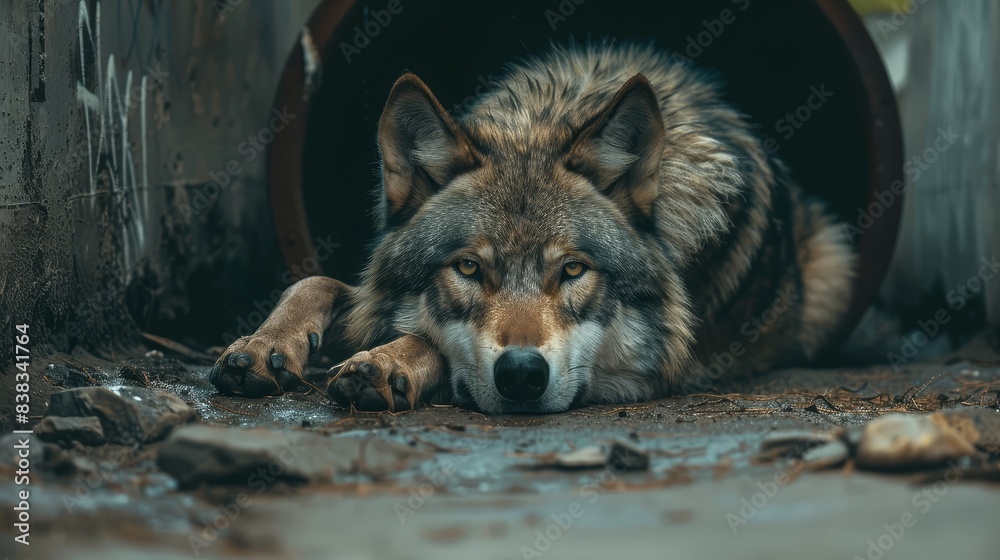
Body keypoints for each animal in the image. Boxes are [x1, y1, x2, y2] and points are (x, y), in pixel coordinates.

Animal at [210, 42, 855, 414]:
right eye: (468, 267)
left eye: (573, 269)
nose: (521, 374)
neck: (551, 116)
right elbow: (313, 282)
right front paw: (263, 346)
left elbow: (430, 341)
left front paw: (384, 363)